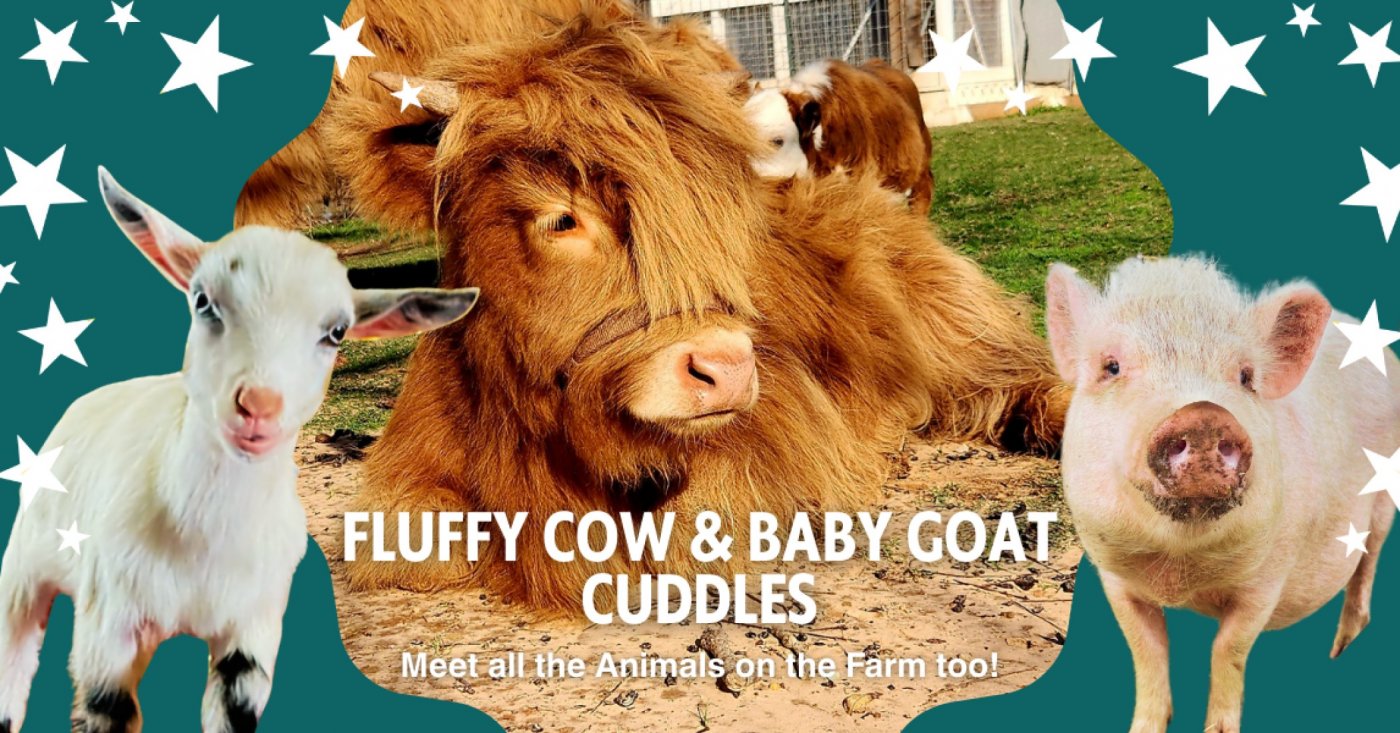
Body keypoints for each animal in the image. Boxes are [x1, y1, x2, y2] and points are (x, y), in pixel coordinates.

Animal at [0, 169, 478, 733]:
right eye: (202, 301)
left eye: (337, 331)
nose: (259, 407)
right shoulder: (108, 630)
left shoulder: (253, 634)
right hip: (24, 569)